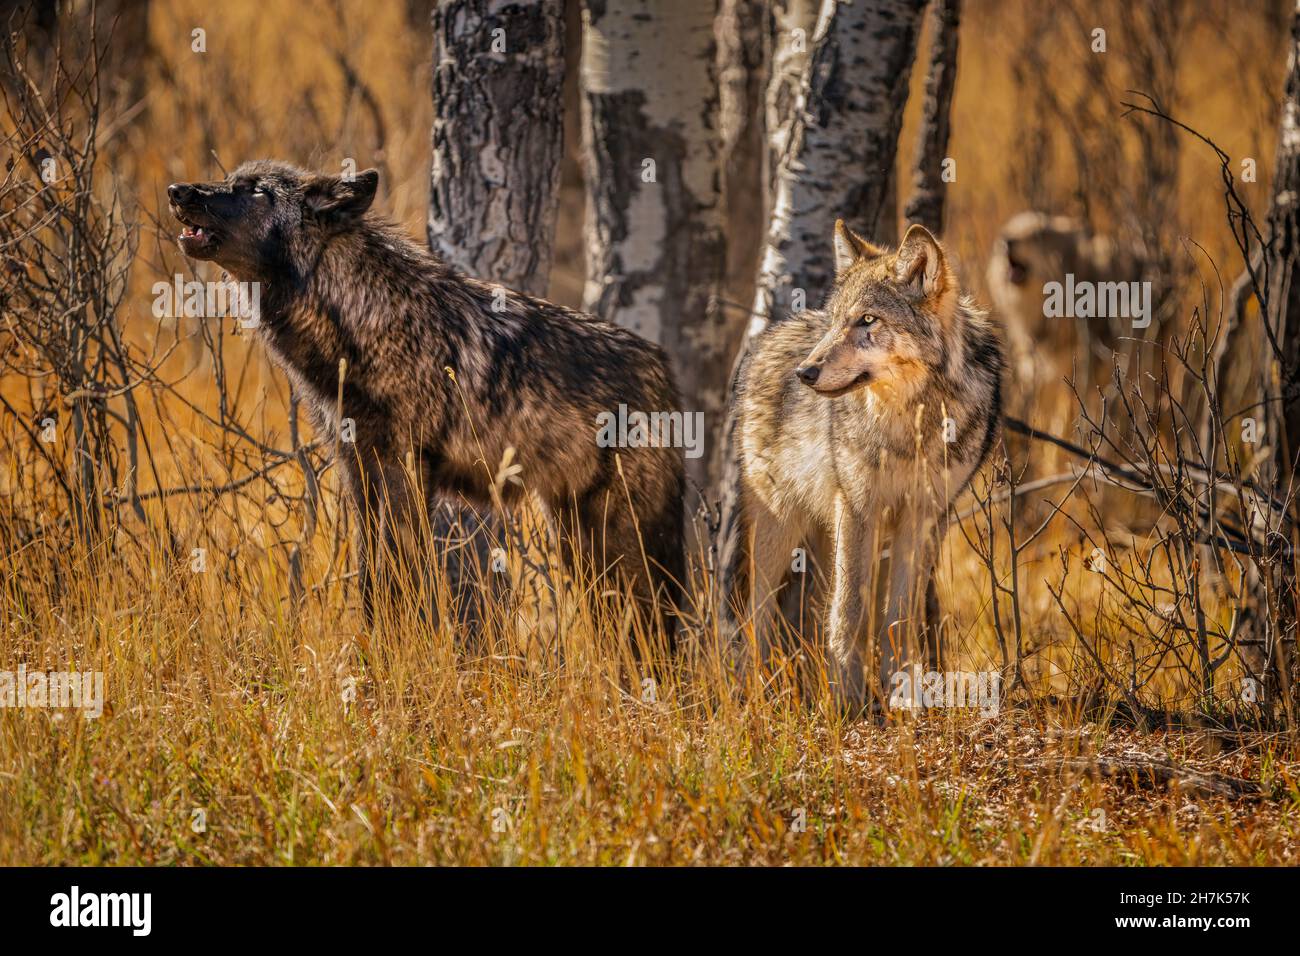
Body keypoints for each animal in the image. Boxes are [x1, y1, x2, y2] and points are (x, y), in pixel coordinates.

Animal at [167, 160, 685, 636]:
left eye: (256, 191)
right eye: (231, 180)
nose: (177, 189)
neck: (359, 320)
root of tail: (665, 370)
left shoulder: (404, 468)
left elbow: (401, 579)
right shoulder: (358, 467)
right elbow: (372, 578)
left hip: (618, 536)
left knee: (655, 626)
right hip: (579, 540)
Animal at [722, 221, 1003, 707]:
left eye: (867, 320)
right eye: (837, 320)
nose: (805, 373)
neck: (911, 421)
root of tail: (768, 339)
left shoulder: (923, 518)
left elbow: (899, 616)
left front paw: (903, 696)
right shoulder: (857, 509)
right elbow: (849, 611)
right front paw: (847, 699)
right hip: (780, 526)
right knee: (755, 614)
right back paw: (753, 694)